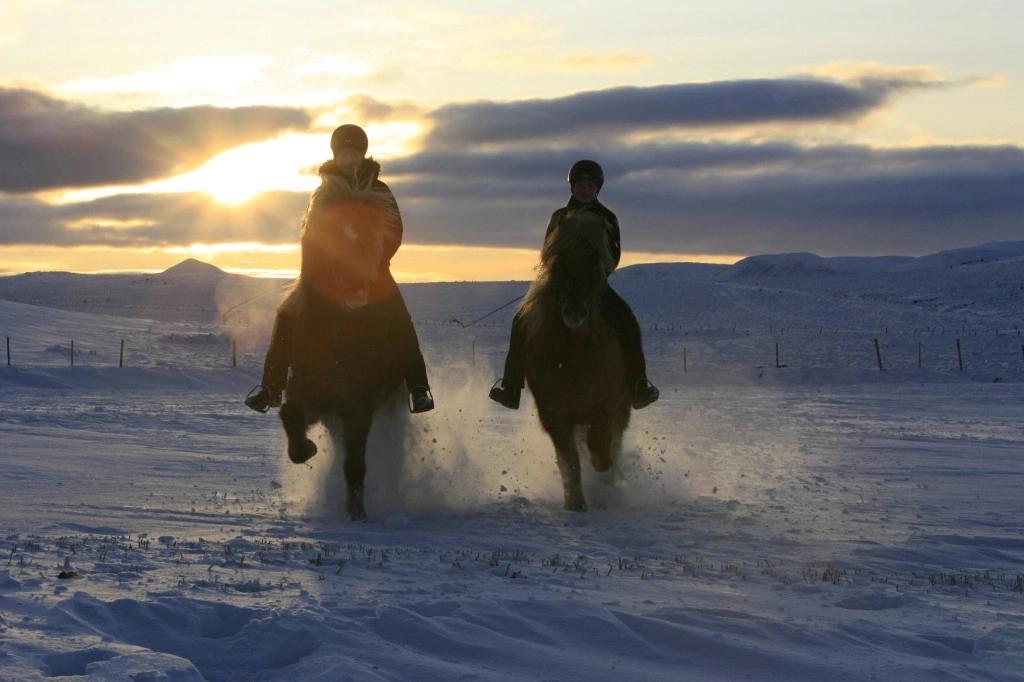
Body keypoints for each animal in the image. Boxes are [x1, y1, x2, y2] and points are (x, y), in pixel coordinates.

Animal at [278, 183, 409, 518]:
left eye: (373, 238)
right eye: (330, 235)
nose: (357, 292)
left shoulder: (358, 407)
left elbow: (355, 465)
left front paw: (356, 513)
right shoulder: (310, 395)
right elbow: (290, 414)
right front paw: (305, 449)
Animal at [520, 209, 630, 507]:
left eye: (594, 261)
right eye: (559, 260)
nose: (574, 312)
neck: (574, 354)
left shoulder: (607, 404)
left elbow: (600, 447)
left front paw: (602, 472)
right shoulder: (554, 413)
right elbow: (569, 460)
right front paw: (575, 503)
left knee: (614, 444)